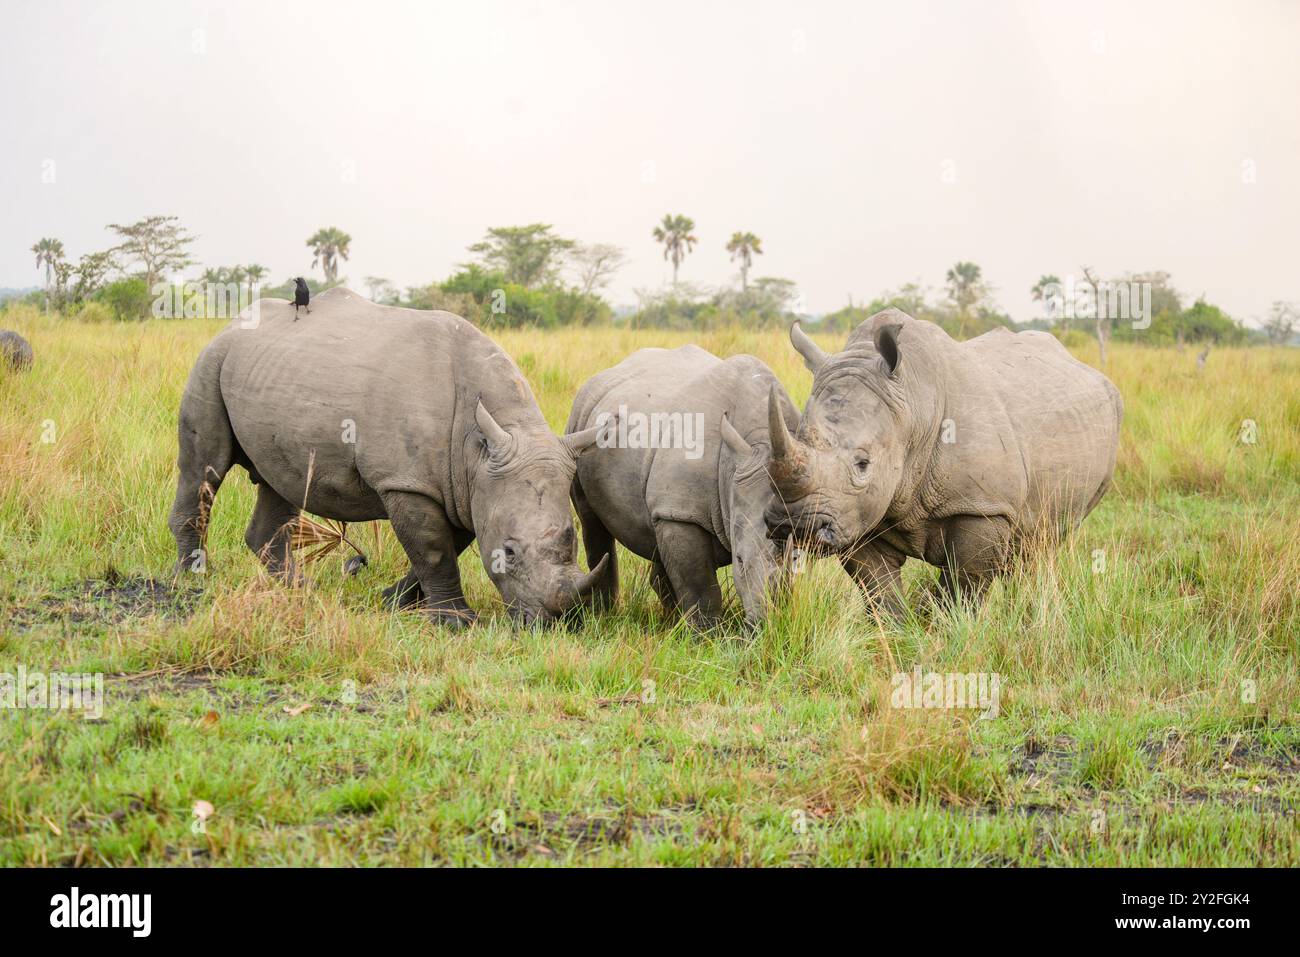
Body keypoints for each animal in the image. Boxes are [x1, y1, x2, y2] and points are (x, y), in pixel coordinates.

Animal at [167, 287, 607, 628]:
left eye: (572, 542)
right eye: (509, 553)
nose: (557, 623)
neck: (482, 443)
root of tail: (233, 323)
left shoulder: (465, 486)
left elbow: (446, 546)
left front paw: (391, 602)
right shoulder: (409, 482)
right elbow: (434, 549)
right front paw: (456, 622)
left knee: (282, 482)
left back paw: (301, 589)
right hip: (212, 360)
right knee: (204, 467)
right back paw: (191, 577)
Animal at [566, 346, 801, 627]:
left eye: (795, 558)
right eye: (740, 560)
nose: (761, 625)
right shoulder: (681, 512)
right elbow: (700, 588)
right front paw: (706, 633)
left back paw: (670, 619)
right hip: (580, 424)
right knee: (592, 521)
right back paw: (606, 615)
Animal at [765, 309, 1122, 612]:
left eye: (863, 463)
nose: (792, 525)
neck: (913, 405)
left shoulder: (982, 506)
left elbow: (962, 588)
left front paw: (947, 628)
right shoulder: (860, 511)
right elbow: (879, 591)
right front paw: (898, 635)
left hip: (1109, 414)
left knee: (1044, 542)